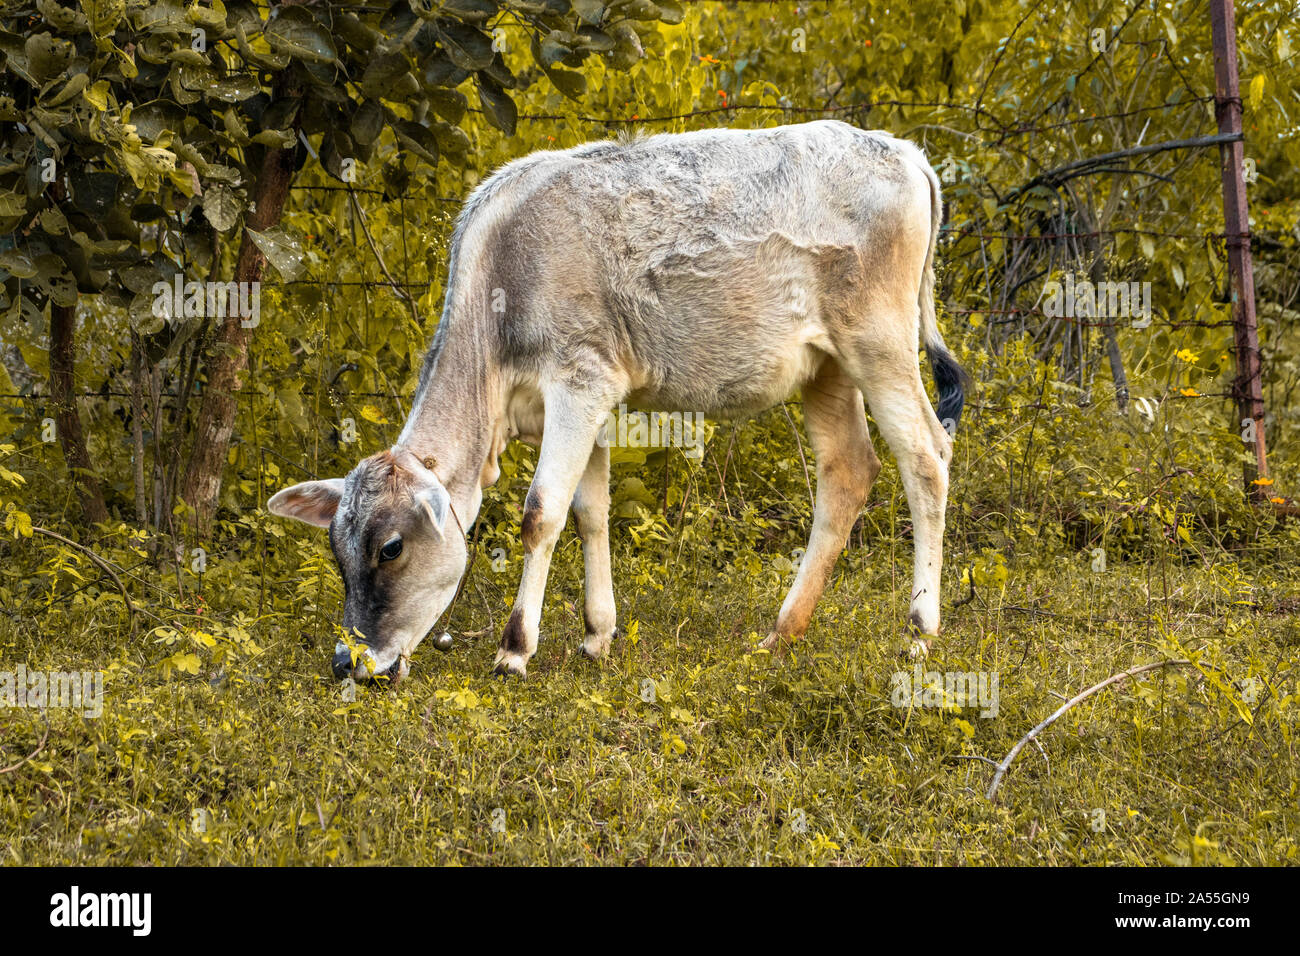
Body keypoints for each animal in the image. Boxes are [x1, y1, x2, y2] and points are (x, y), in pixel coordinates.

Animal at [268, 120, 967, 682]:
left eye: (390, 548)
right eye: (337, 551)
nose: (348, 662)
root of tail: (902, 150)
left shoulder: (580, 379)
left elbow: (540, 512)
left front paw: (515, 648)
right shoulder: (590, 404)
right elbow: (589, 512)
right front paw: (597, 636)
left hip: (878, 340)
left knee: (926, 456)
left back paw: (918, 634)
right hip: (825, 367)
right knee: (848, 469)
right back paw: (781, 631)